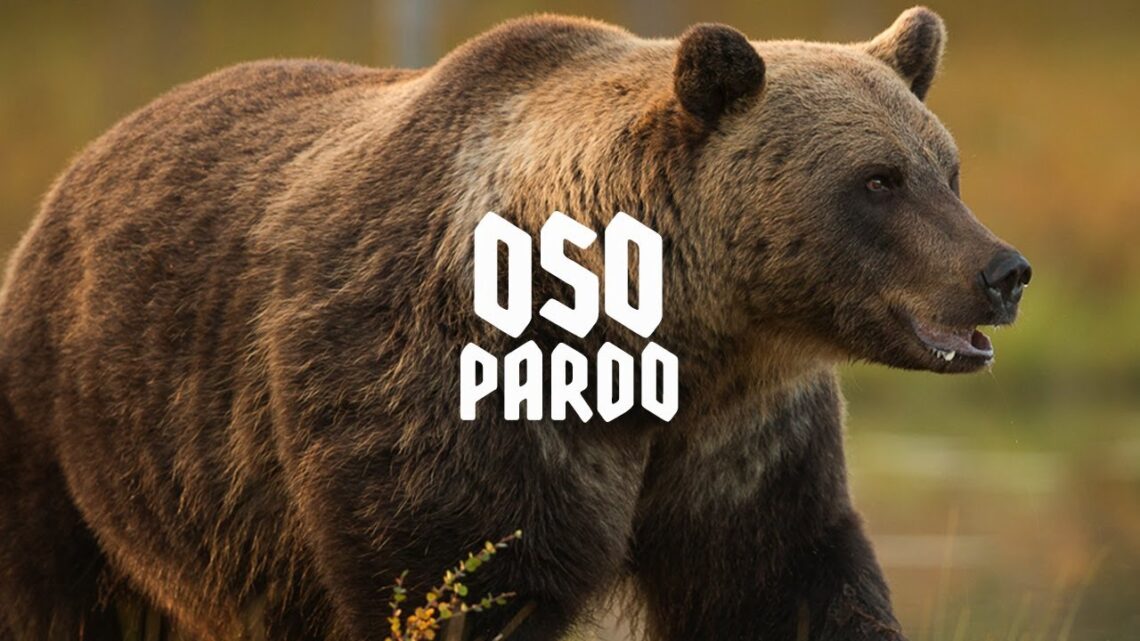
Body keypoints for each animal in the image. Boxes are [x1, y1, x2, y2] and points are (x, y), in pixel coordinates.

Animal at [0, 6, 1032, 641]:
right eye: (877, 180)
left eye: (946, 169)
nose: (1003, 272)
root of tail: (85, 162)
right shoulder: (453, 402)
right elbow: (464, 582)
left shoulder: (740, 438)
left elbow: (789, 581)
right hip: (79, 440)